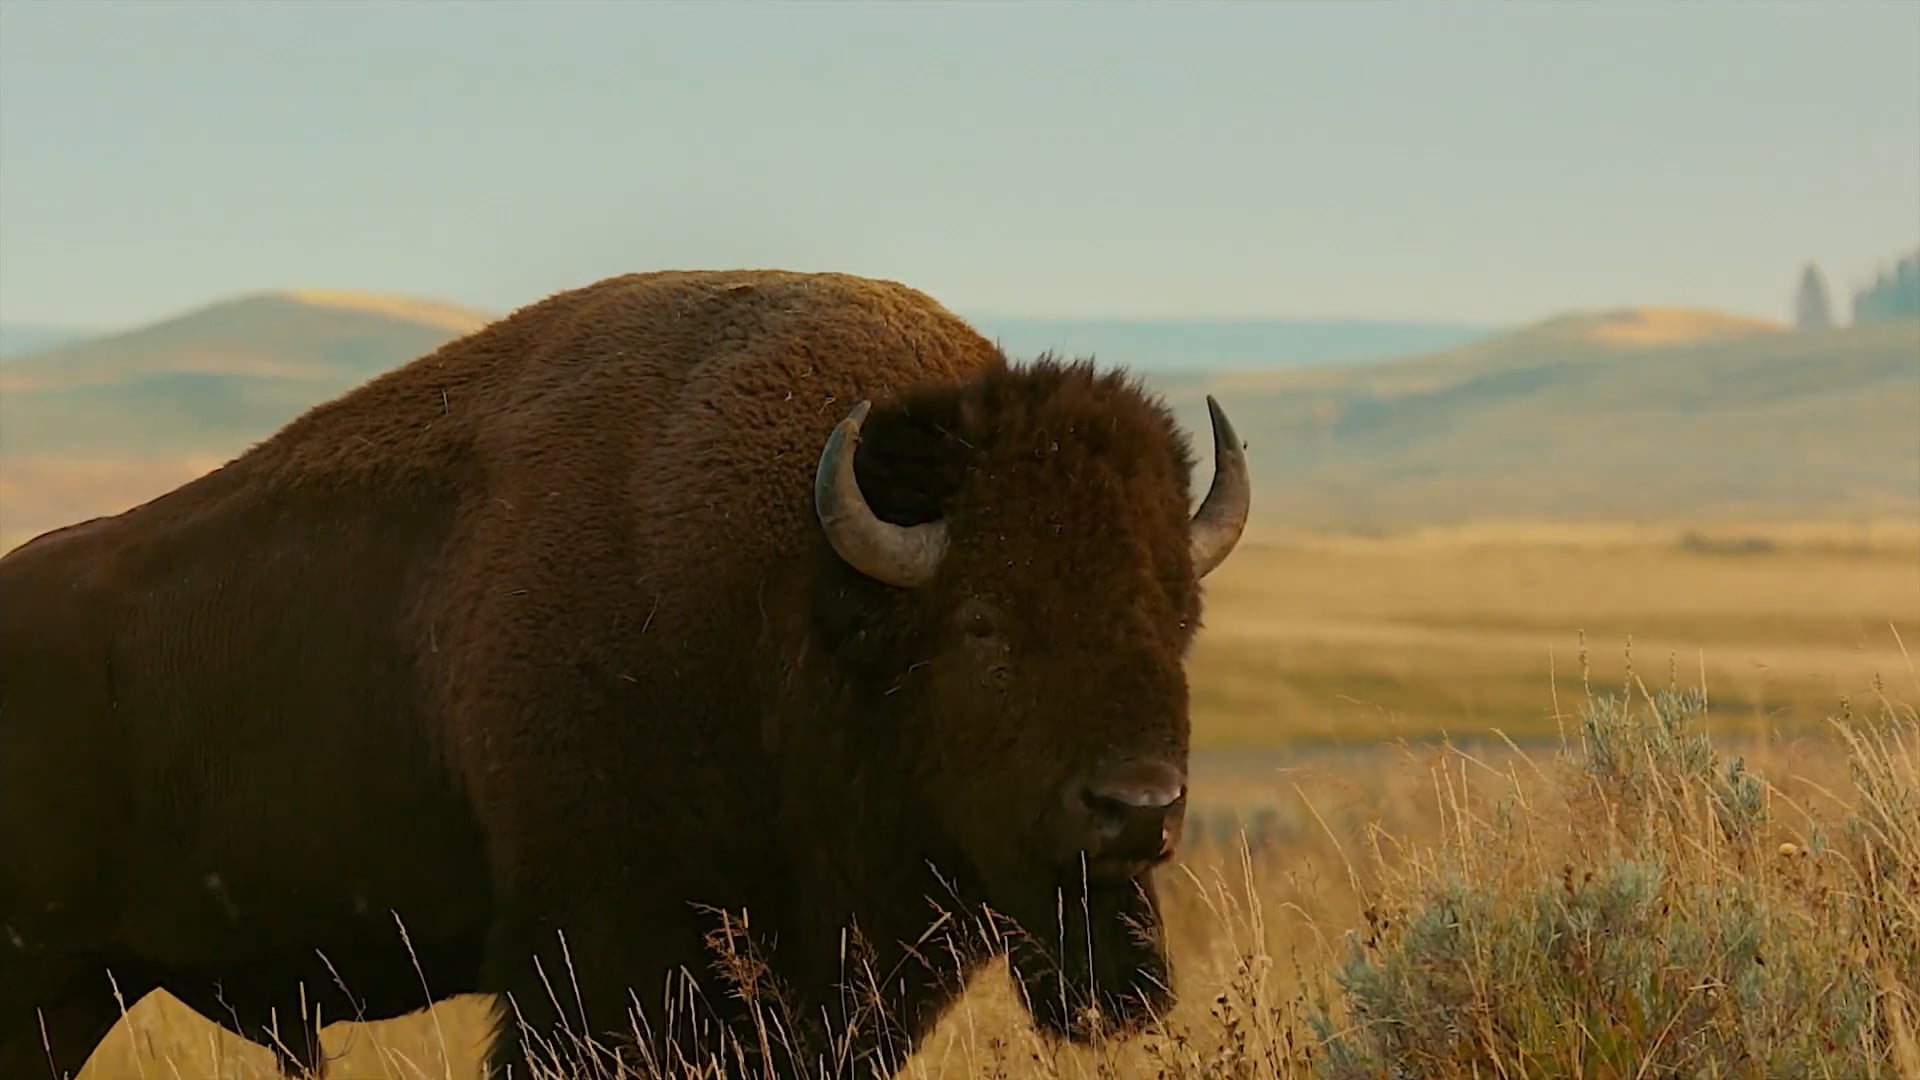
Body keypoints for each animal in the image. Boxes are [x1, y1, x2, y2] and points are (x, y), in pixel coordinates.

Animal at [0, 269, 1250, 1078]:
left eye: (1179, 616)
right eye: (985, 624)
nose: (1138, 809)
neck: (803, 591)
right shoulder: (601, 968)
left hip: (81, 989)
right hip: (38, 985)